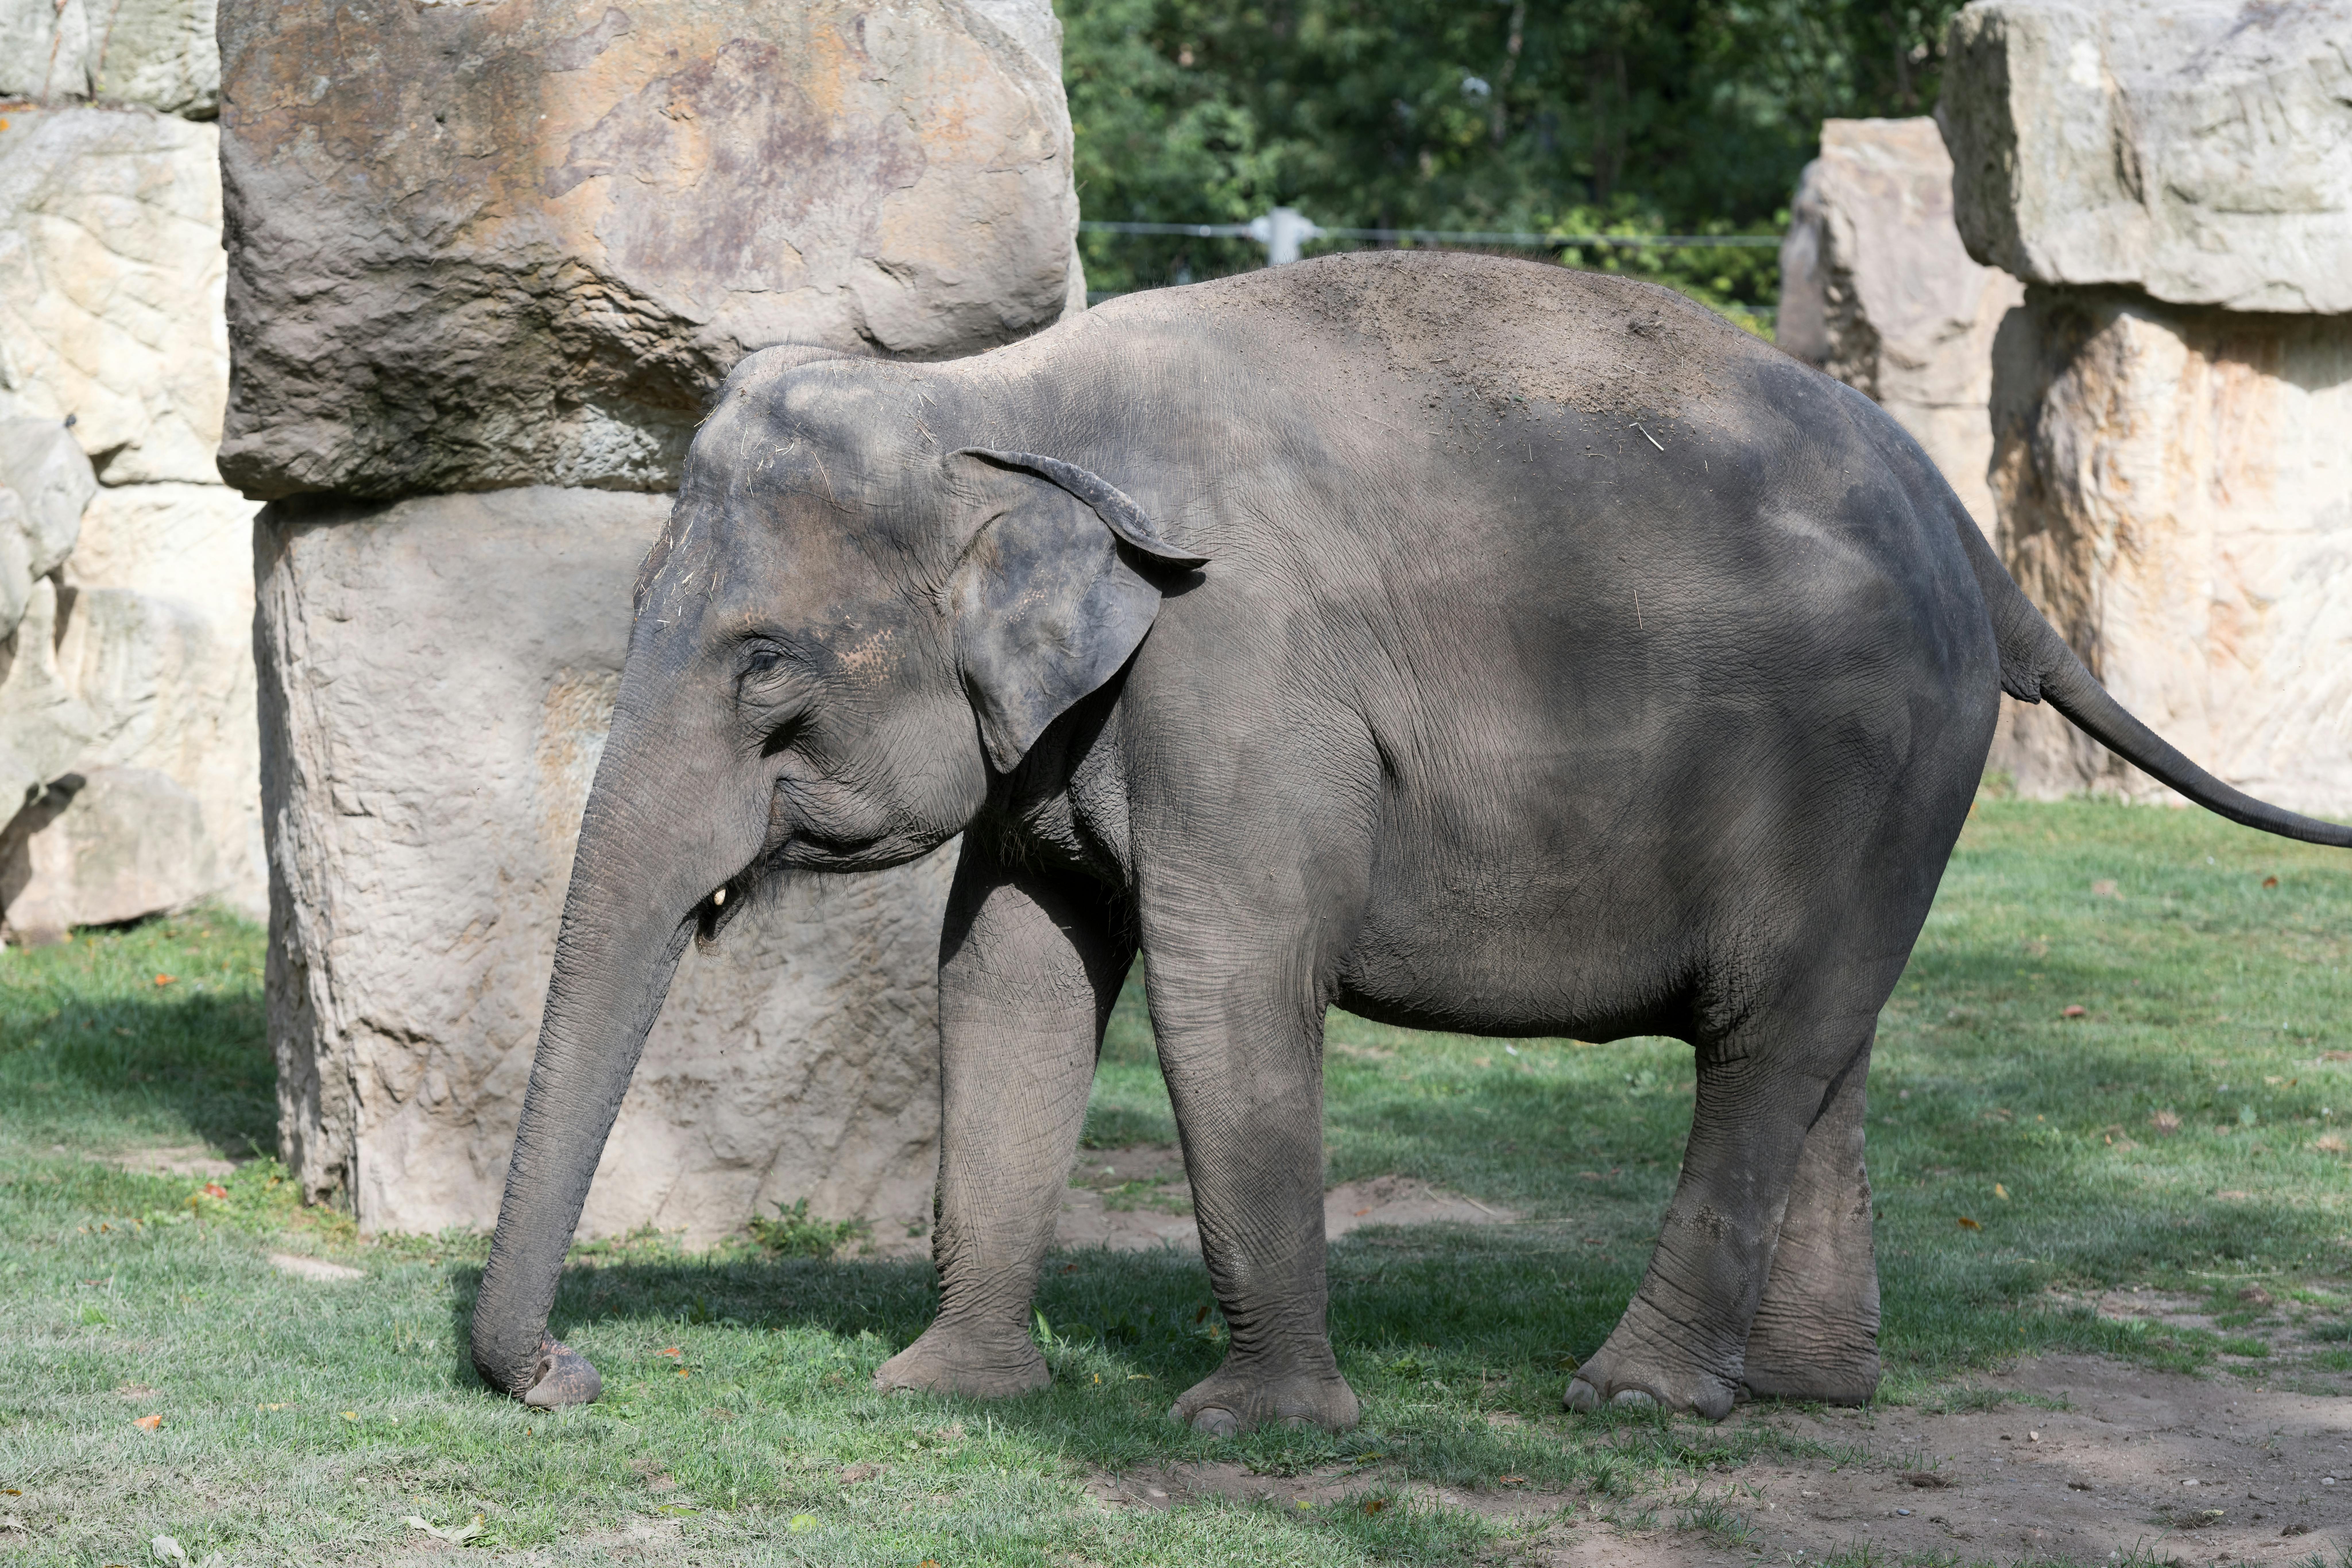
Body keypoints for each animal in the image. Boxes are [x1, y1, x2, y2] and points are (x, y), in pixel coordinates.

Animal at [468, 250, 2351, 1430]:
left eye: (763, 666)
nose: (568, 1376)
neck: (990, 396)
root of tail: (1991, 568)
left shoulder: (1240, 677)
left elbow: (1228, 987)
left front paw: (1250, 1431)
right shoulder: (1060, 730)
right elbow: (1006, 974)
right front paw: (947, 1395)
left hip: (1880, 760)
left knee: (1767, 1043)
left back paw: (1632, 1400)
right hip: (1890, 797)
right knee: (1826, 1045)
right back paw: (1803, 1397)